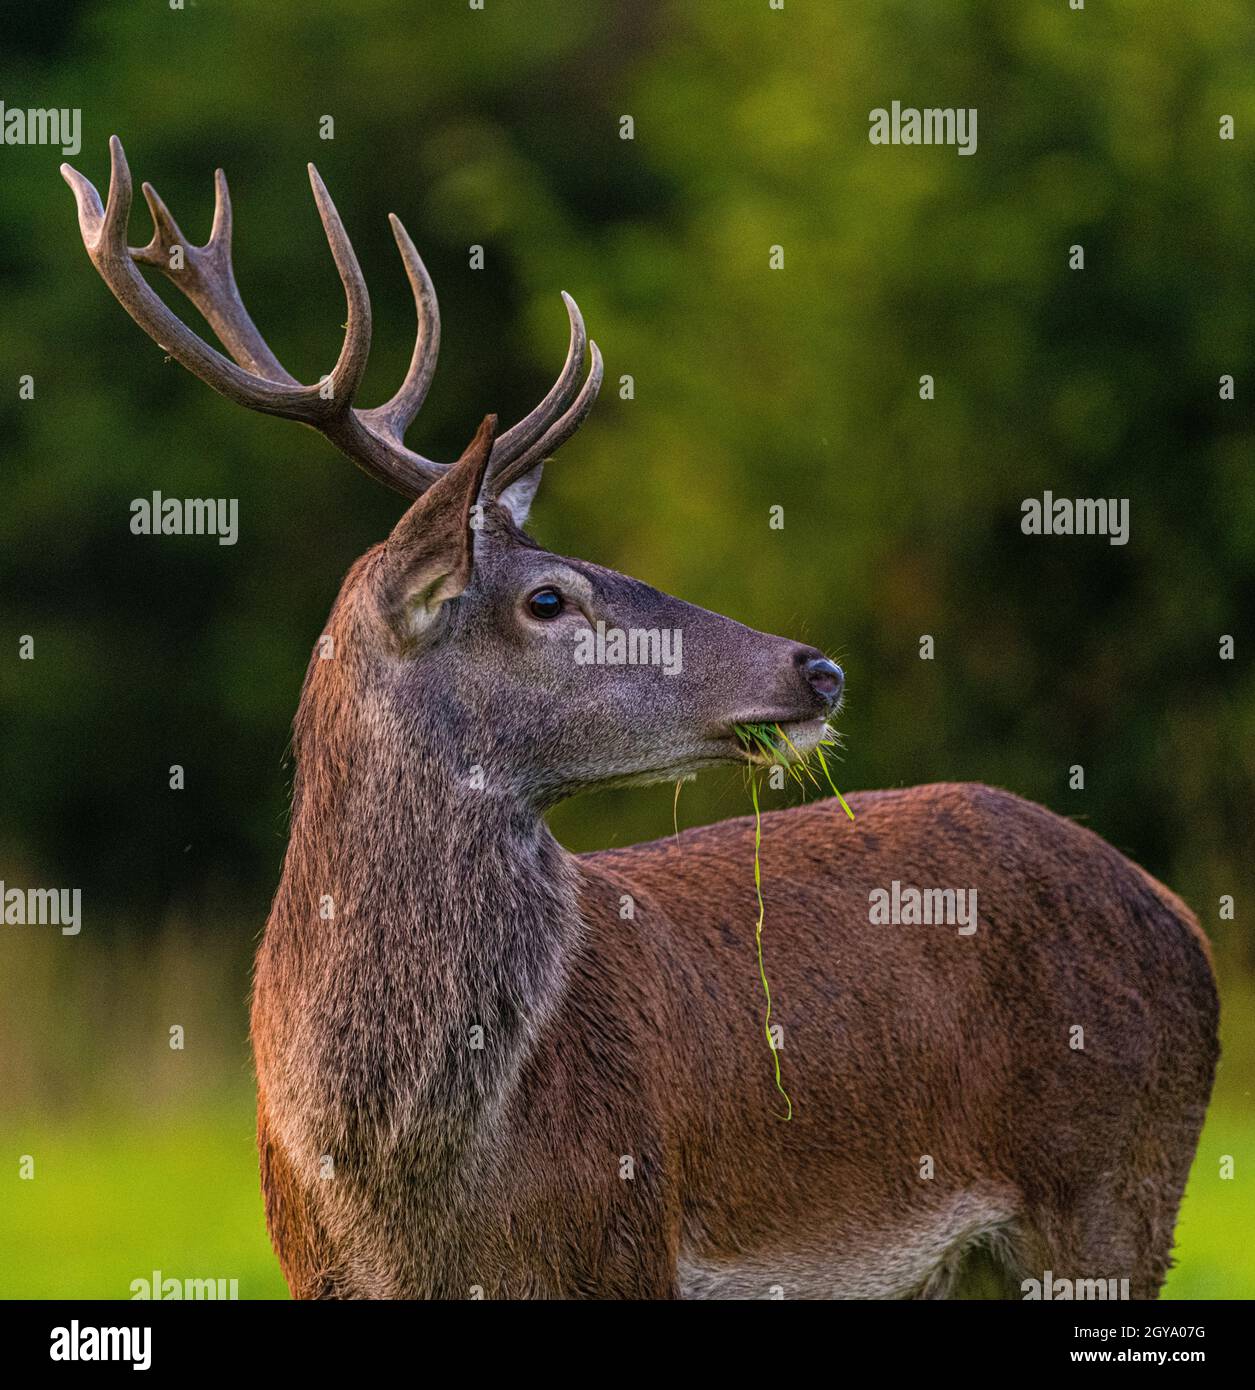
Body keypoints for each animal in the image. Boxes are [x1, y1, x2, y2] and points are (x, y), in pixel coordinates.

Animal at [64, 137, 1219, 1300]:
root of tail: (1185, 921)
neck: (398, 1184)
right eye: (547, 598)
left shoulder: (624, 1241)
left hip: (1117, 1195)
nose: (818, 669)